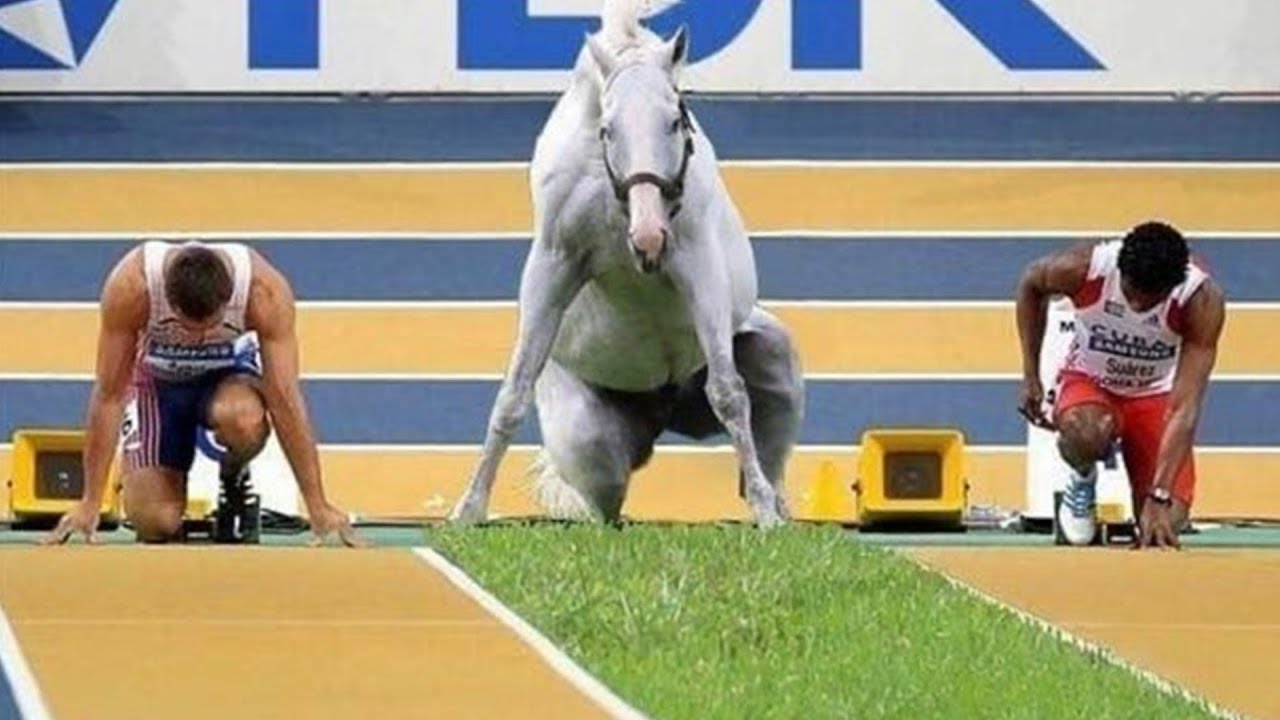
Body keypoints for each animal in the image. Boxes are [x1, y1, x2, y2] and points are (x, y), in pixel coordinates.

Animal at [448, 0, 805, 528]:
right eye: (608, 129)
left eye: (675, 121)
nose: (649, 235)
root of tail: (664, 412)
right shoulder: (552, 265)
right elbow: (512, 394)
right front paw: (469, 507)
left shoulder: (699, 266)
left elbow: (729, 392)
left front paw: (763, 511)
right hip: (590, 443)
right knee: (604, 500)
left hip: (770, 354)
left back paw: (772, 499)